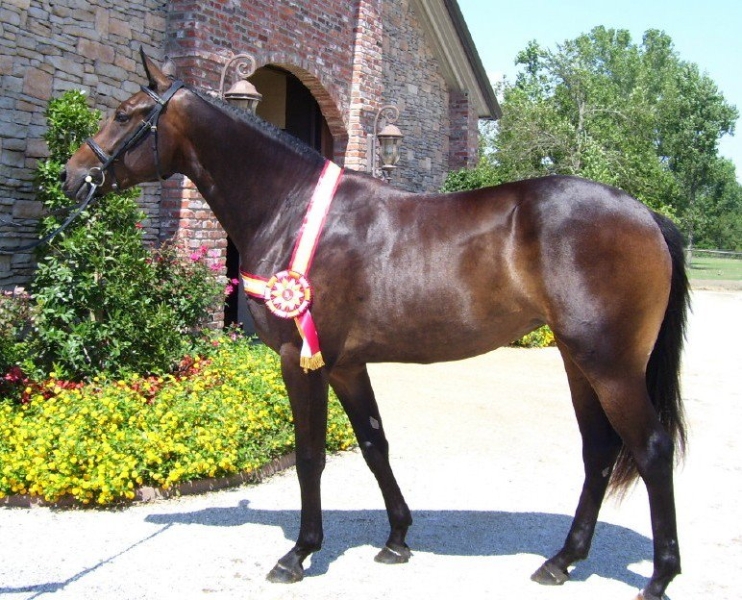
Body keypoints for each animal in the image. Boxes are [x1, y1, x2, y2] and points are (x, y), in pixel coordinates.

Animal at [62, 51, 689, 600]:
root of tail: (645, 214)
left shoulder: (299, 359)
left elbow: (310, 456)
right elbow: (373, 443)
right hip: (579, 361)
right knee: (599, 451)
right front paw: (396, 539)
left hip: (610, 365)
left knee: (651, 450)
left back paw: (659, 577)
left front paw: (300, 553)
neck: (291, 207)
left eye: (125, 113)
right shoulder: (344, 363)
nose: (73, 176)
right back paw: (561, 561)